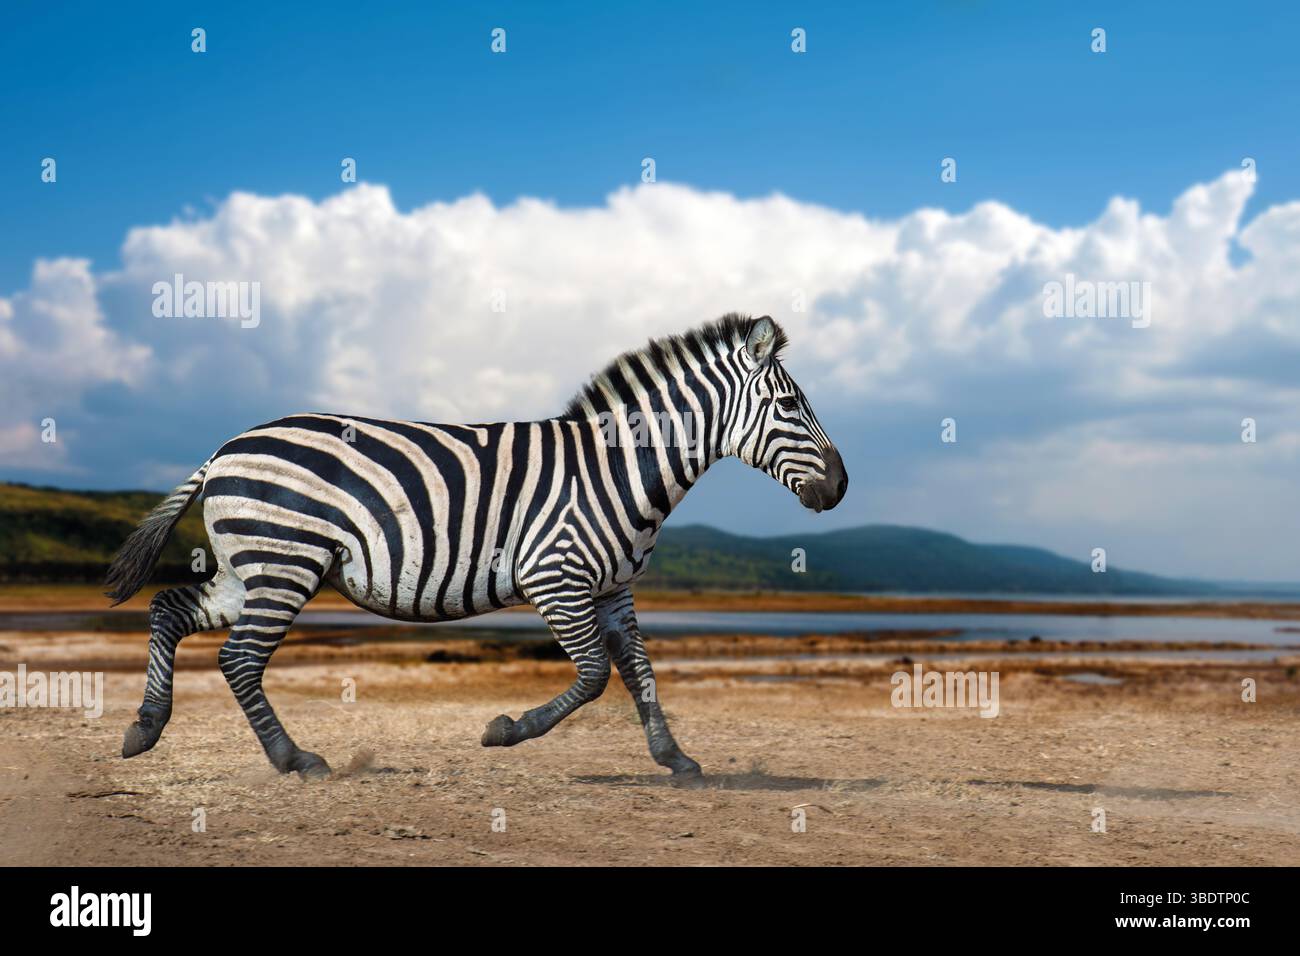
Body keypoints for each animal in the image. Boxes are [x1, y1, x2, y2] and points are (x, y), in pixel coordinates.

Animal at [106, 313, 848, 779]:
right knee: (239, 660)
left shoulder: (613, 588)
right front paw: (505, 730)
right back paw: (295, 761)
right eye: (790, 406)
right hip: (285, 561)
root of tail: (223, 448)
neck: (615, 469)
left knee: (170, 611)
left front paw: (676, 759)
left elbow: (640, 672)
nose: (841, 487)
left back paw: (146, 728)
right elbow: (594, 677)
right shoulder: (556, 577)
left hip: (251, 568)